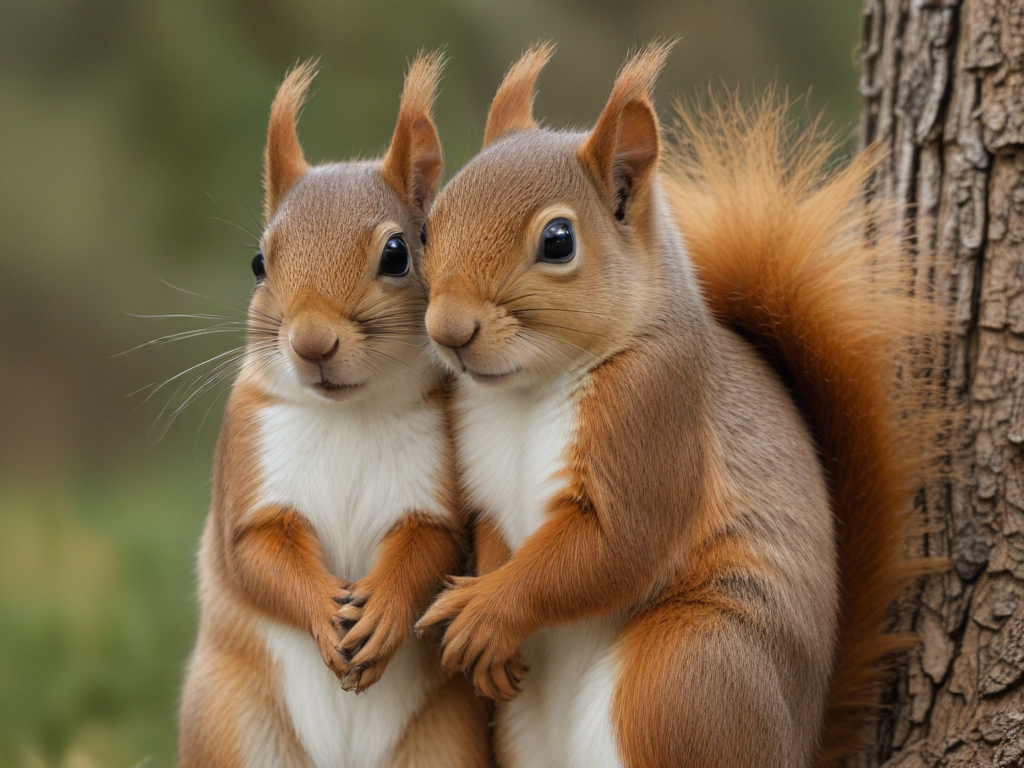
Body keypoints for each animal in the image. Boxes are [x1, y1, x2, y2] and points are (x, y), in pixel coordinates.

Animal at [178, 54, 489, 768]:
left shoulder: (435, 488)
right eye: (259, 262)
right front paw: (324, 610)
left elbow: (434, 547)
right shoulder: (251, 463)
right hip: (229, 723)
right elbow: (256, 555)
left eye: (400, 253)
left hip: (445, 740)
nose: (312, 343)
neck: (351, 413)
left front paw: (382, 612)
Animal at [416, 42, 933, 768]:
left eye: (557, 241)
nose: (448, 331)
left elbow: (615, 546)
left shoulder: (656, 415)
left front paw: (488, 612)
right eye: (427, 229)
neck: (528, 390)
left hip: (684, 676)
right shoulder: (487, 477)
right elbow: (495, 534)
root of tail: (797, 747)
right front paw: (486, 615)